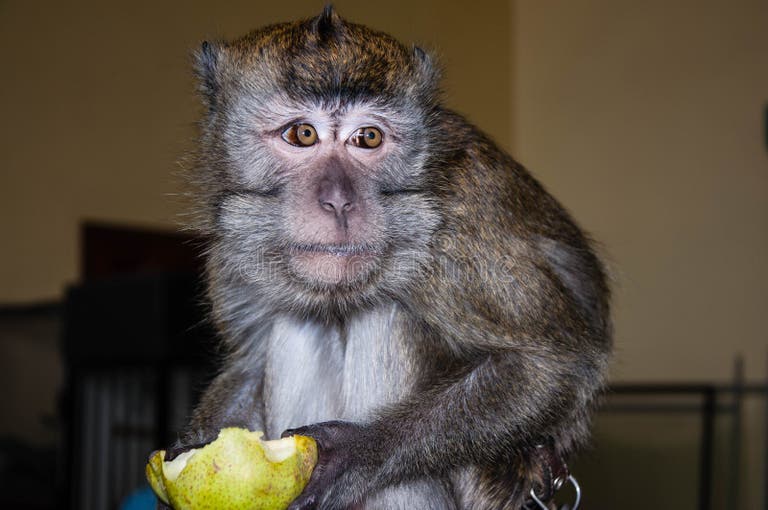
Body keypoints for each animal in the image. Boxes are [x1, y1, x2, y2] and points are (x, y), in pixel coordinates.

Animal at [158, 6, 611, 510]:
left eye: (368, 138)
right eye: (302, 134)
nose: (338, 201)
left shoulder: (459, 228)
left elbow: (549, 365)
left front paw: (356, 455)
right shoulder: (231, 235)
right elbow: (248, 362)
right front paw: (194, 447)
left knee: (383, 317)